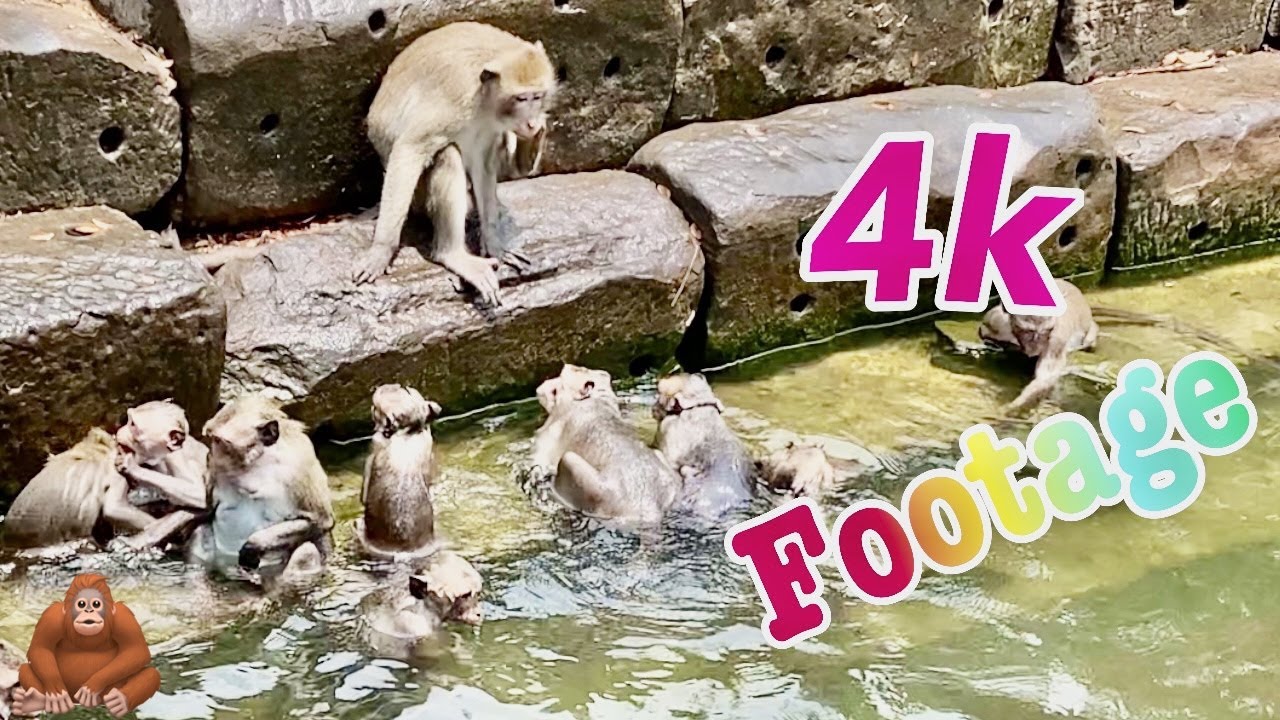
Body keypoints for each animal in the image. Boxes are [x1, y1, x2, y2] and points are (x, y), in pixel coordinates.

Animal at [14, 573, 160, 718]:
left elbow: (136, 650)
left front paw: (91, 686)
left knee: (152, 674)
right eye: (81, 604)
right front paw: (57, 694)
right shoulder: (52, 617)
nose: (89, 610)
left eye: (96, 604)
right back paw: (33, 700)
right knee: (25, 669)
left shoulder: (123, 617)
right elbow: (41, 648)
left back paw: (119, 701)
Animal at [188, 395, 335, 582]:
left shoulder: (299, 469)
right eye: (213, 439)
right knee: (200, 533)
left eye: (220, 441)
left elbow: (321, 520)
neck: (259, 464)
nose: (210, 453)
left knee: (306, 551)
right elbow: (207, 513)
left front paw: (253, 545)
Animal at [353, 21, 557, 305]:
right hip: (418, 199)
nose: (531, 122)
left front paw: (495, 245)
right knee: (446, 155)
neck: (485, 99)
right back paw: (452, 254)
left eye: (537, 96)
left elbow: (483, 166)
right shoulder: (454, 98)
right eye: (521, 98)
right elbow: (409, 149)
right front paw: (380, 251)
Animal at [530, 364, 682, 529]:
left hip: (583, 477)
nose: (568, 365)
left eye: (577, 370)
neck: (596, 401)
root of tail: (649, 507)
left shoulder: (550, 433)